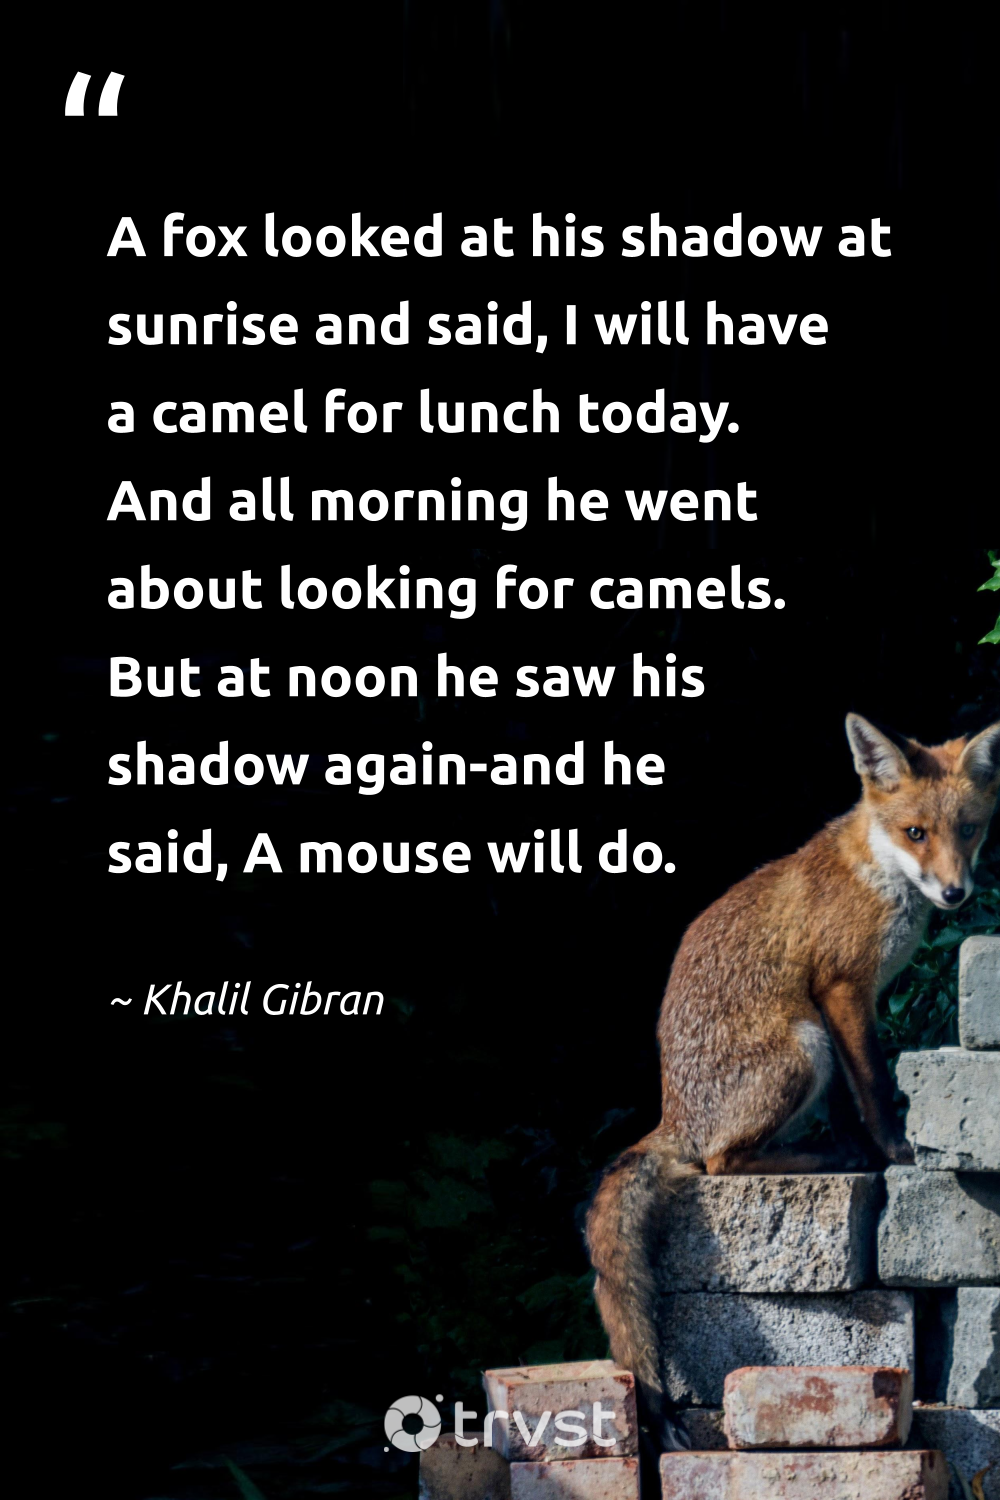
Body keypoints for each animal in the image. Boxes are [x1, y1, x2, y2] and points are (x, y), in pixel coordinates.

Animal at [586, 713, 1000, 1451]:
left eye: (970, 829)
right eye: (916, 832)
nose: (956, 893)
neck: (877, 874)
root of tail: (673, 1114)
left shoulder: (848, 1008)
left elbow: (849, 1105)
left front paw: (865, 1151)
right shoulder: (840, 991)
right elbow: (874, 1089)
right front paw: (895, 1151)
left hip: (810, 1046)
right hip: (802, 1044)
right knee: (719, 1163)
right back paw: (818, 1159)